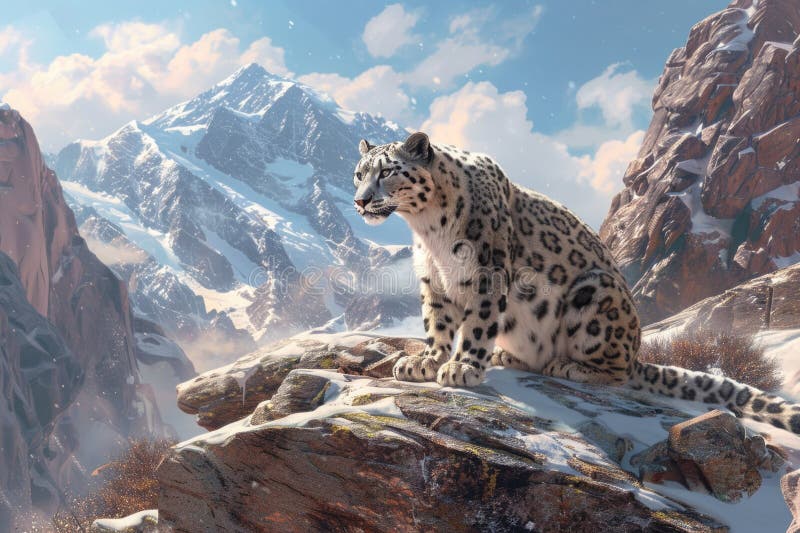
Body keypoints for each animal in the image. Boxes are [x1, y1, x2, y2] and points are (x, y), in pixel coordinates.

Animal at [352, 131, 800, 434]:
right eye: (359, 173)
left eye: (387, 172)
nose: (360, 200)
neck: (430, 229)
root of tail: (636, 349)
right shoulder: (435, 281)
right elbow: (438, 324)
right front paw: (426, 361)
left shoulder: (488, 270)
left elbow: (478, 323)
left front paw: (463, 367)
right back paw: (510, 357)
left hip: (594, 295)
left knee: (618, 373)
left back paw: (567, 365)